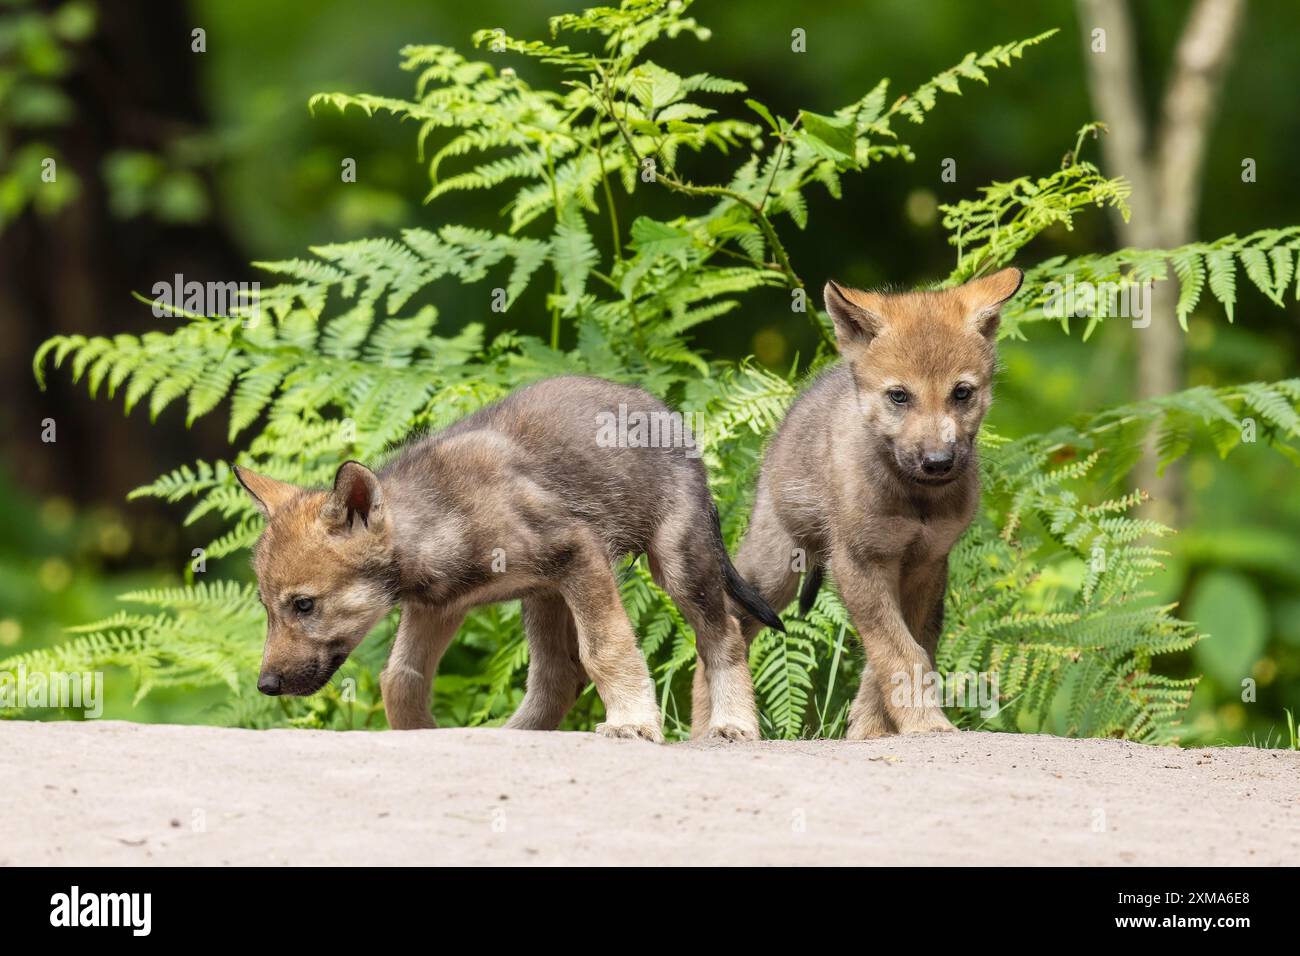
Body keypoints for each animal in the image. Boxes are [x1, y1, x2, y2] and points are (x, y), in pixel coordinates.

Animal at [233, 376, 783, 742]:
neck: (438, 519)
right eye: (267, 609)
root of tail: (676, 423)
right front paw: (420, 733)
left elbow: (607, 649)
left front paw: (631, 723)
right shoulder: (437, 608)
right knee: (557, 676)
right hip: (544, 597)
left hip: (676, 563)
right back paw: (516, 732)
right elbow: (400, 678)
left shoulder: (580, 551)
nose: (265, 685)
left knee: (724, 636)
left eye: (304, 605)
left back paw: (732, 725)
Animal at [707, 268, 1023, 737]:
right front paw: (924, 724)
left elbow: (899, 653)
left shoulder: (925, 564)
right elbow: (899, 653)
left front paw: (874, 728)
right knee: (724, 628)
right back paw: (722, 727)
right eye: (899, 396)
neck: (915, 500)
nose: (938, 462)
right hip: (773, 570)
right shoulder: (859, 561)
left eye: (962, 393)